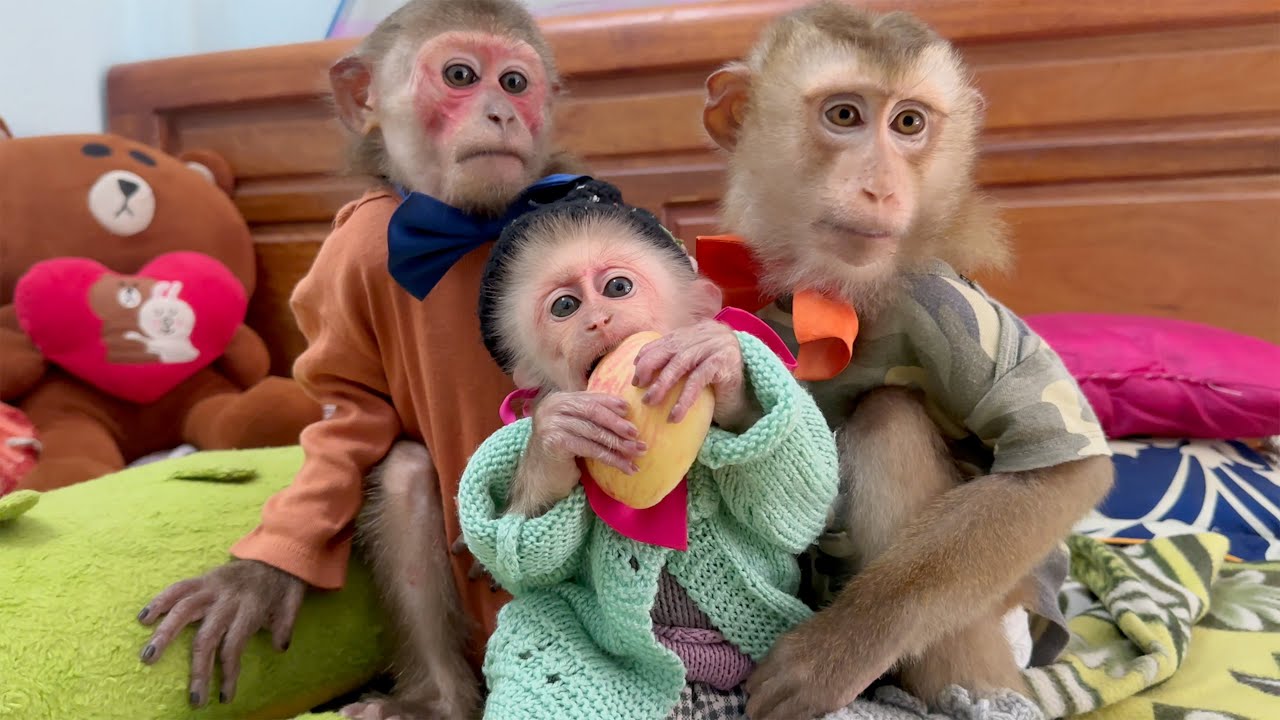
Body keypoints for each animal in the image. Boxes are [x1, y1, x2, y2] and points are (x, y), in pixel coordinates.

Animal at [134, 1, 590, 717]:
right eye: (461, 76)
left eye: (515, 83)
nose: (502, 113)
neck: (468, 222)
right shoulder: (343, 260)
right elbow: (350, 418)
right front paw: (260, 573)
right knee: (401, 471)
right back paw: (436, 701)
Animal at [457, 178, 840, 720]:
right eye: (565, 307)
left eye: (618, 287)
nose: (598, 321)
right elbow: (531, 566)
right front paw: (554, 438)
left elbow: (797, 508)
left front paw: (718, 361)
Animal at [695, 3, 1116, 718]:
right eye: (844, 115)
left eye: (909, 124)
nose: (881, 190)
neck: (830, 293)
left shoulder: (948, 302)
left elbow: (1065, 470)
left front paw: (835, 652)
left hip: (1015, 600)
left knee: (888, 416)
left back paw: (978, 697)